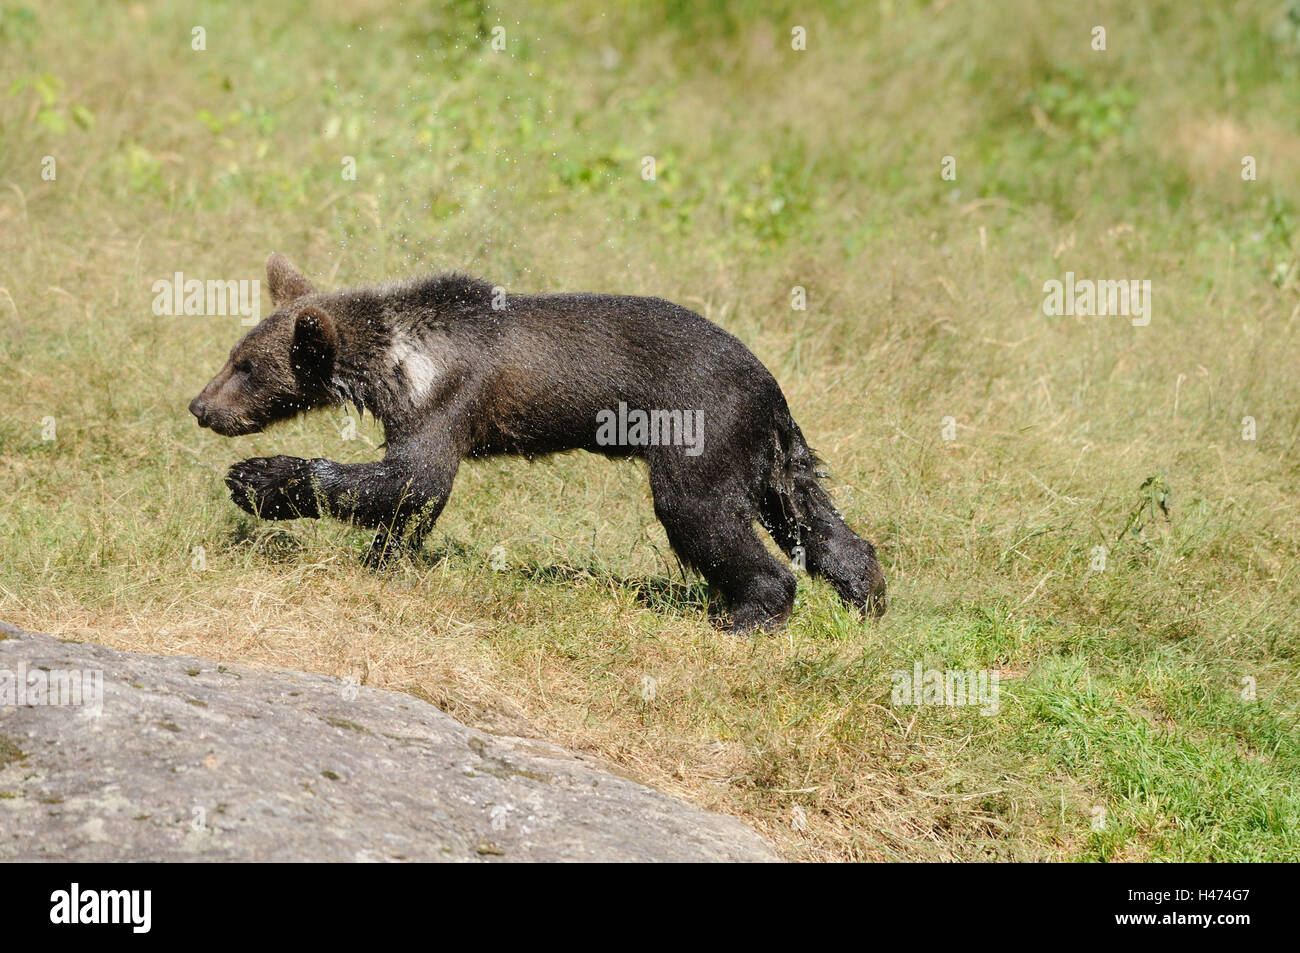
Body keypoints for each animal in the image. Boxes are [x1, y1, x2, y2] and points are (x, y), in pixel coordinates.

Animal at [189, 253, 886, 632]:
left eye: (248, 367)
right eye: (233, 354)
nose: (200, 406)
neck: (397, 360)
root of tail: (771, 388)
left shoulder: (446, 397)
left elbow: (413, 478)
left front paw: (258, 479)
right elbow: (410, 502)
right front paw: (389, 558)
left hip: (701, 427)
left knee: (703, 513)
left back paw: (743, 614)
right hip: (763, 450)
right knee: (811, 515)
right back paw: (866, 598)